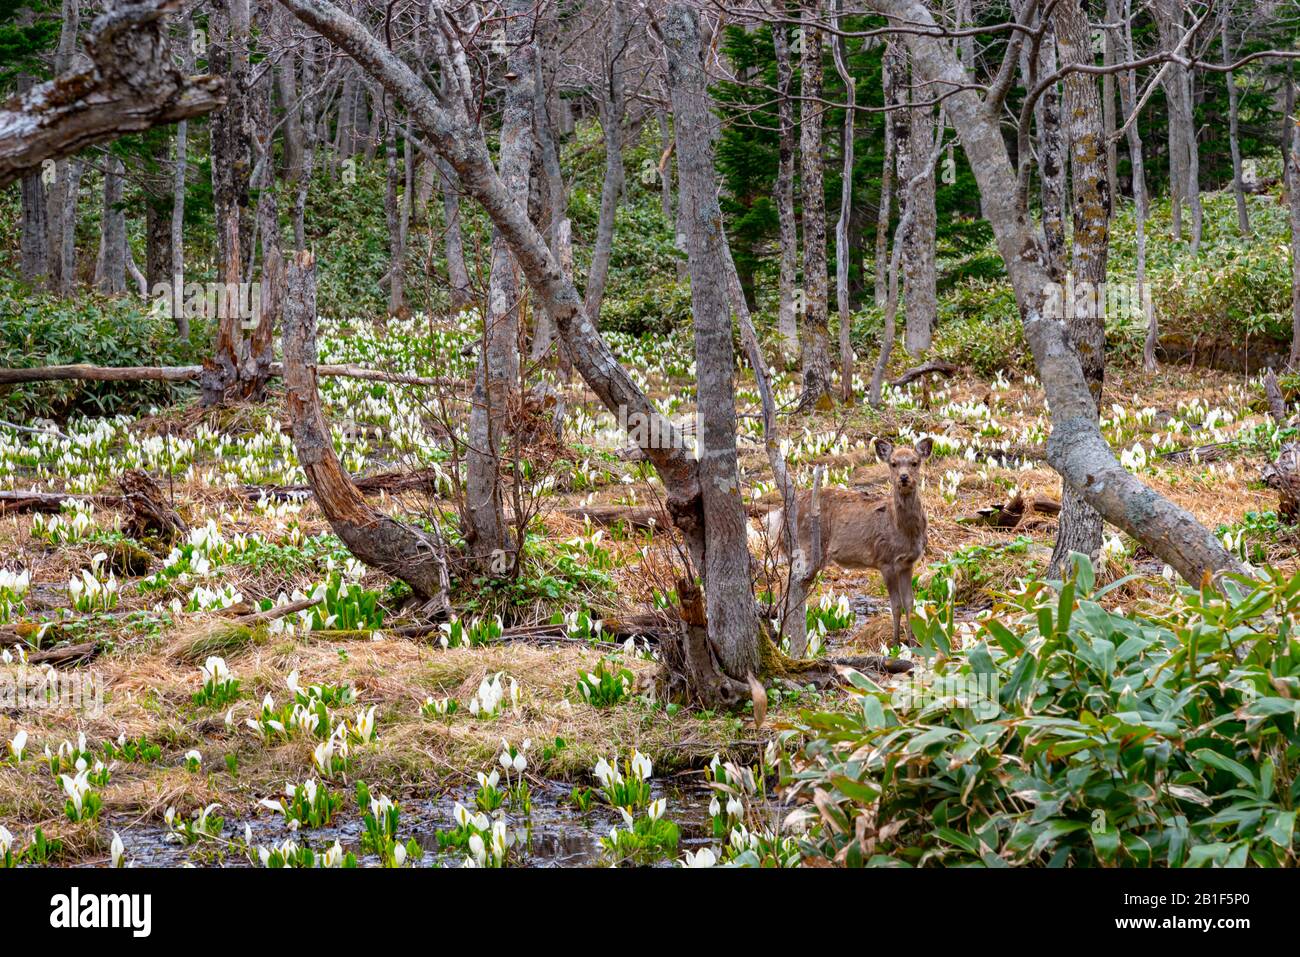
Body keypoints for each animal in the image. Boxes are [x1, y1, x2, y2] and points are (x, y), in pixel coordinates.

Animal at [765, 437, 932, 647]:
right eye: (893, 463)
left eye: (914, 462)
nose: (903, 477)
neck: (903, 529)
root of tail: (778, 516)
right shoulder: (885, 560)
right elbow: (896, 605)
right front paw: (895, 643)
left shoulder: (907, 563)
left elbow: (910, 603)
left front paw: (912, 642)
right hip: (805, 548)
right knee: (788, 590)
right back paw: (785, 639)